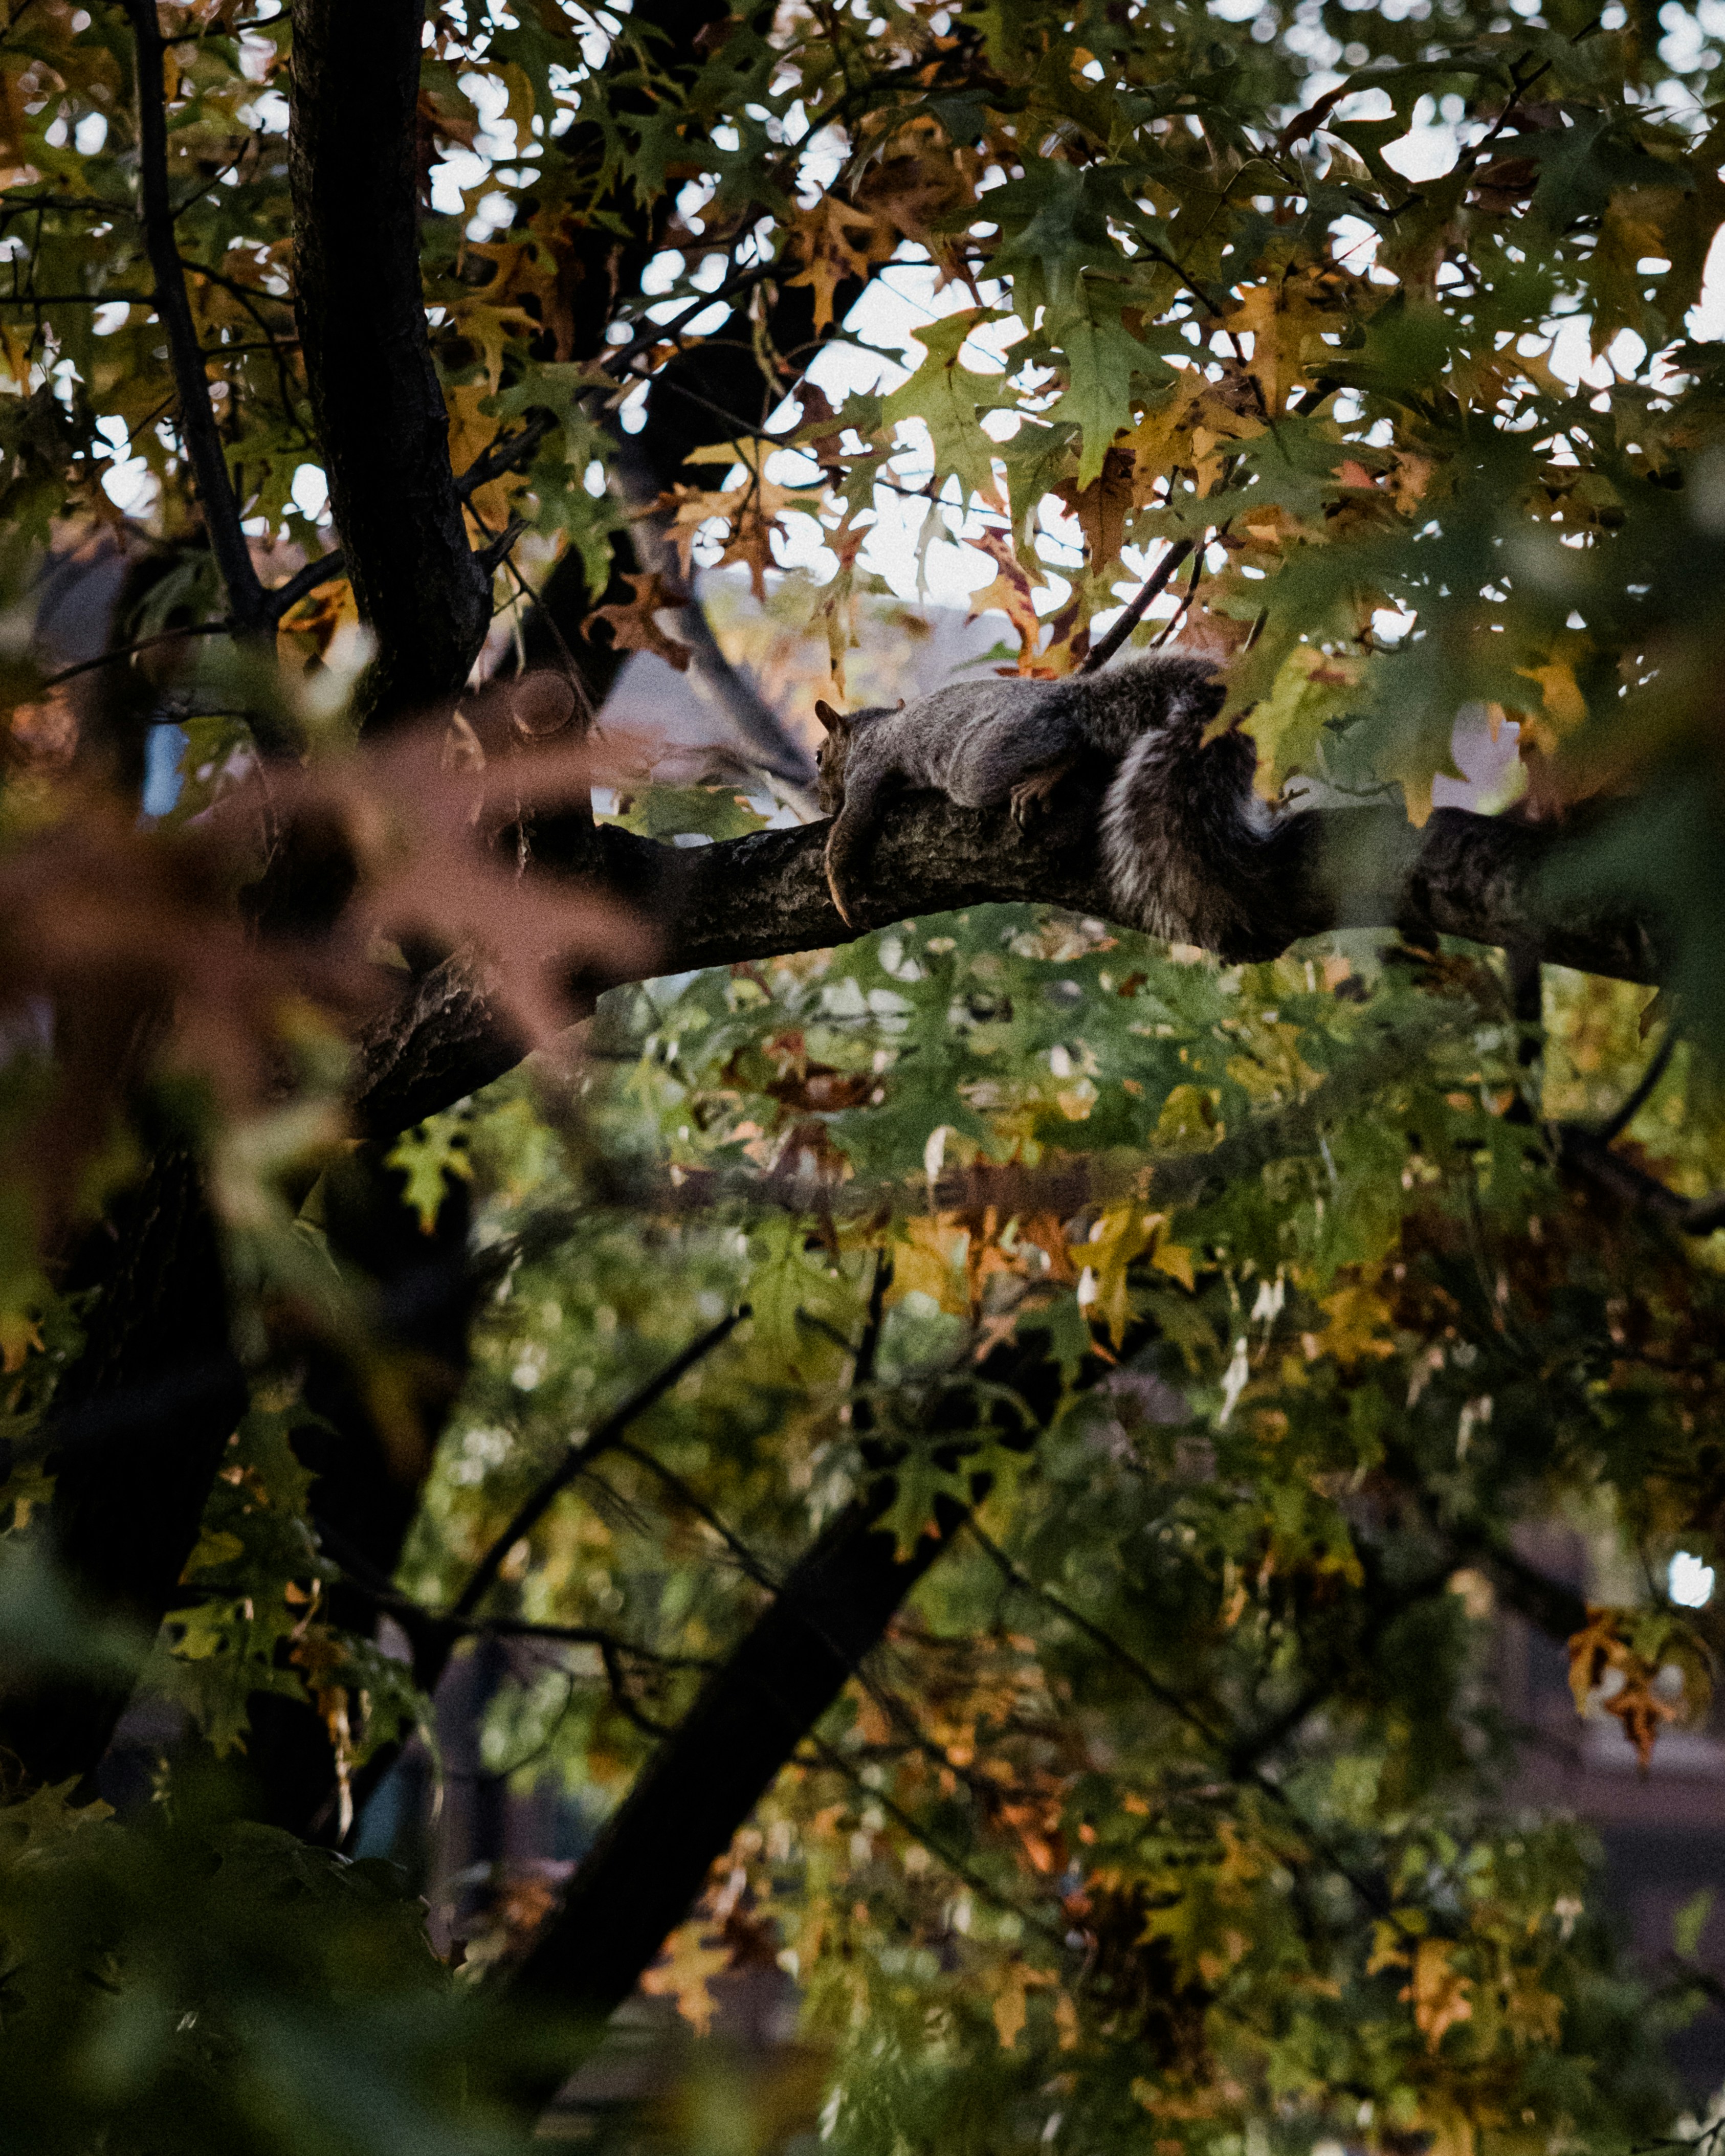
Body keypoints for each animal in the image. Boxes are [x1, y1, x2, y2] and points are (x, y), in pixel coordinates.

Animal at [812, 650, 1284, 958]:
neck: (871, 731)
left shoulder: (867, 772)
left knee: (1073, 748)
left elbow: (849, 831)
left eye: (818, 757)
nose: (821, 801)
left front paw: (841, 894)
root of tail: (1071, 701)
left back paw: (1045, 779)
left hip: (980, 764)